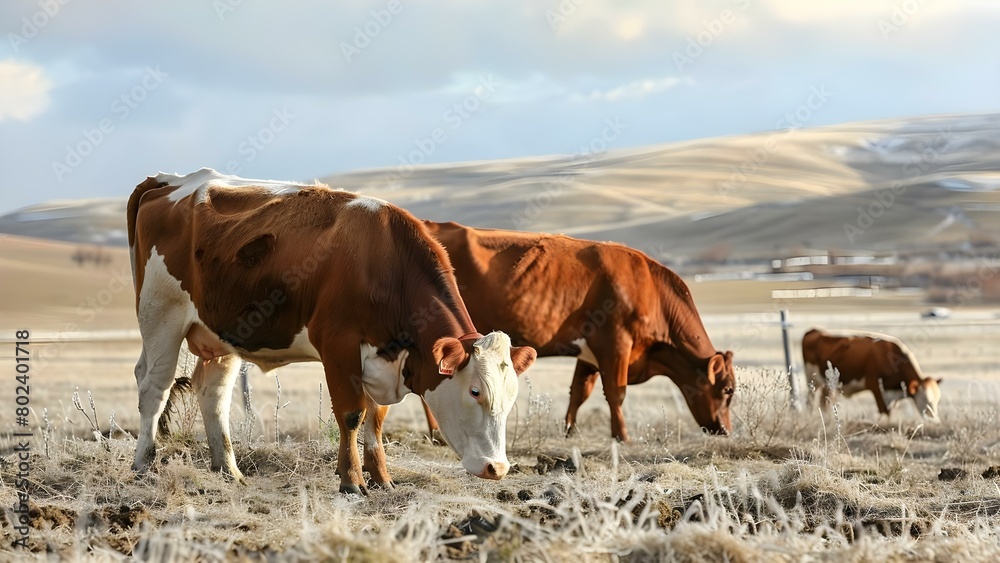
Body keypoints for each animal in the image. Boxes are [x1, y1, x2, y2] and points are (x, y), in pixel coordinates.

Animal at [127, 169, 536, 494]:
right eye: (475, 391)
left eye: (512, 395)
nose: (497, 468)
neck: (384, 261)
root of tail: (170, 180)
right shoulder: (339, 347)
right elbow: (352, 415)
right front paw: (351, 481)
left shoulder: (381, 358)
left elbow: (376, 418)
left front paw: (382, 478)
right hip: (161, 315)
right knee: (154, 388)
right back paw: (144, 464)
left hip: (220, 333)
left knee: (213, 394)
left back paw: (229, 470)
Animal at [419, 221, 736, 442]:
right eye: (728, 390)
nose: (727, 431)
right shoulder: (616, 344)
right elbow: (617, 393)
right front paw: (622, 437)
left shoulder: (590, 353)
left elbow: (579, 393)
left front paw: (570, 431)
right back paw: (437, 433)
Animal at [801, 328, 941, 420]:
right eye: (927, 401)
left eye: (937, 401)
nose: (935, 421)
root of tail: (814, 330)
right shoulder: (875, 386)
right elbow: (884, 411)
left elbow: (889, 411)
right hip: (811, 381)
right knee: (810, 401)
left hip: (826, 384)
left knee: (824, 403)